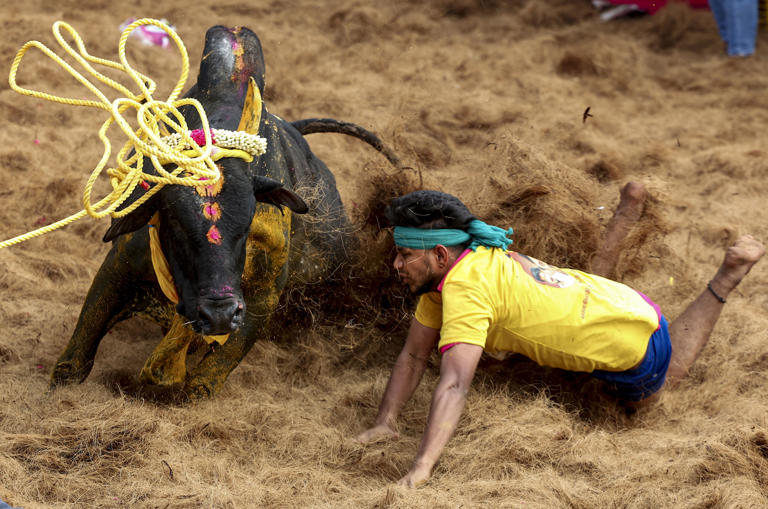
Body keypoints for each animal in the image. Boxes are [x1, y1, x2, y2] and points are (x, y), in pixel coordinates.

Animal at [49, 25, 396, 399]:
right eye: (176, 223)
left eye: (247, 225)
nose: (218, 315)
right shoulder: (119, 266)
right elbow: (74, 360)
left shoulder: (261, 299)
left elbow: (204, 380)